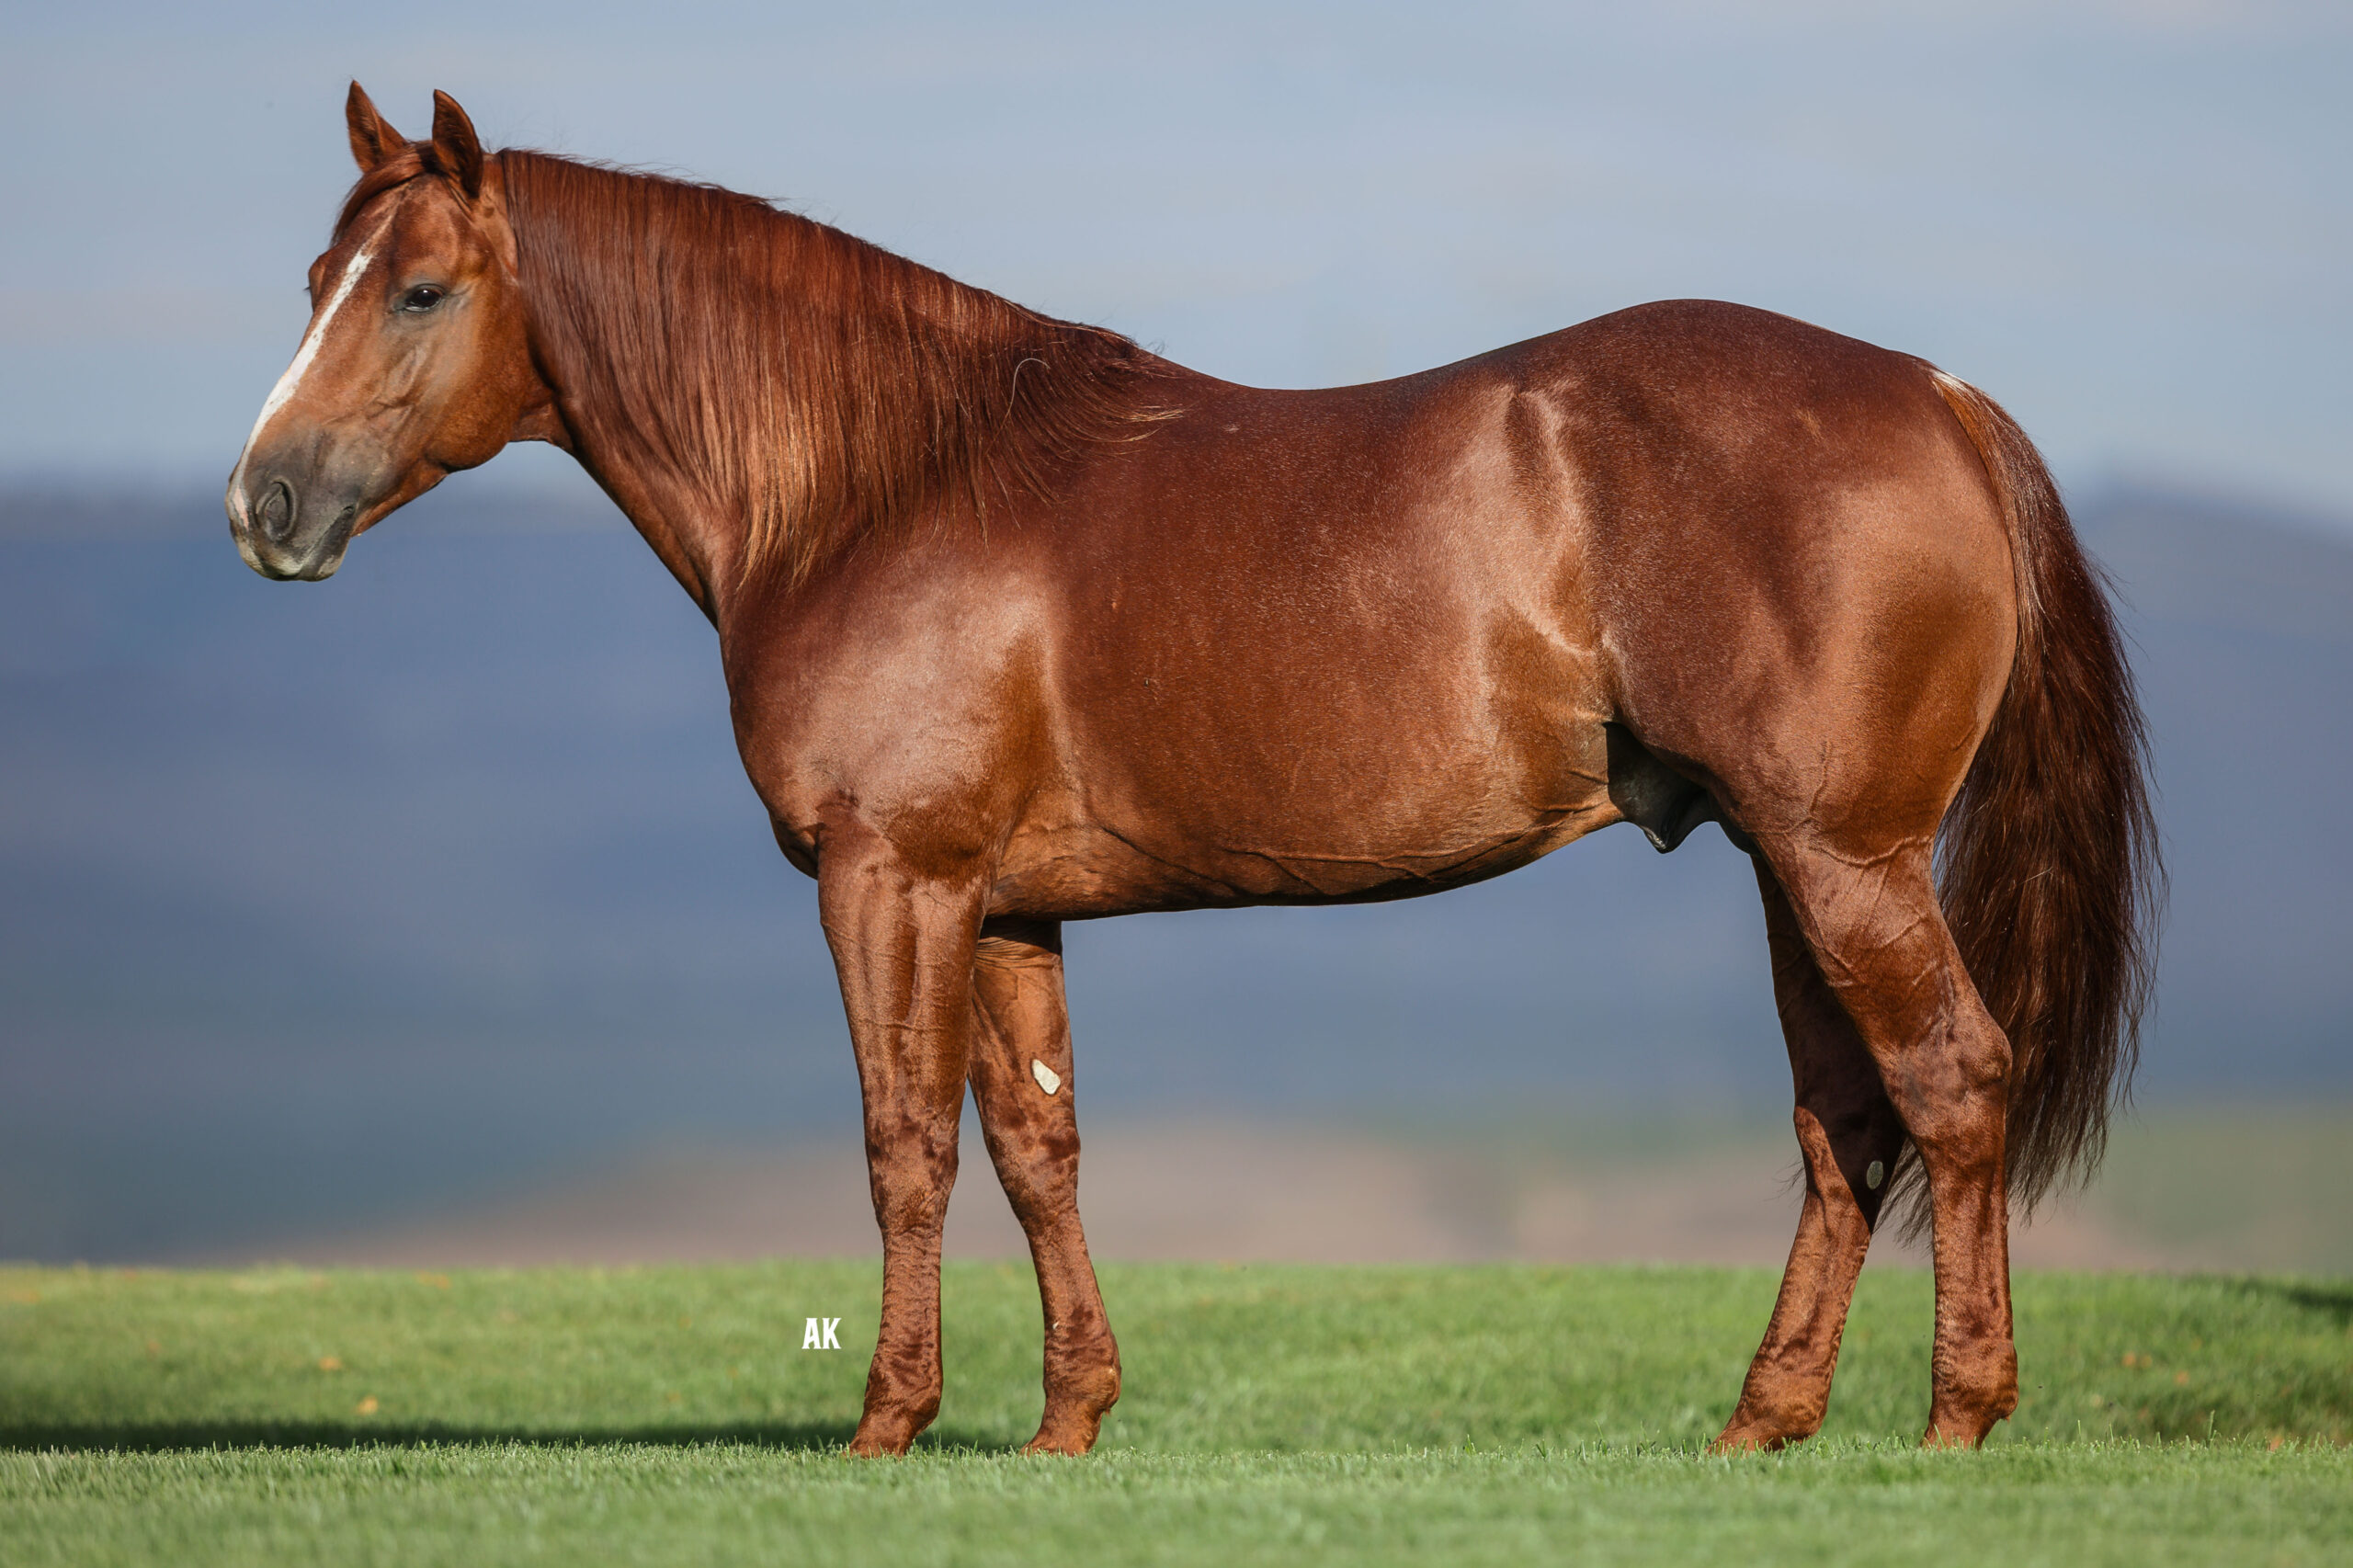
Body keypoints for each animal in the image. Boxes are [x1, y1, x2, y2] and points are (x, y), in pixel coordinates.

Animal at [227, 84, 2157, 1457]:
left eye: (419, 288)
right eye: (318, 283)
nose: (265, 505)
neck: (885, 485)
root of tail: (1936, 391)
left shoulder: (891, 878)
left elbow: (903, 1145)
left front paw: (887, 1426)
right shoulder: (1004, 909)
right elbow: (1037, 1149)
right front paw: (1067, 1422)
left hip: (1846, 858)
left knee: (1953, 1084)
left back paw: (1959, 1418)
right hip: (1792, 864)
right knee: (1847, 1121)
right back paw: (1766, 1423)